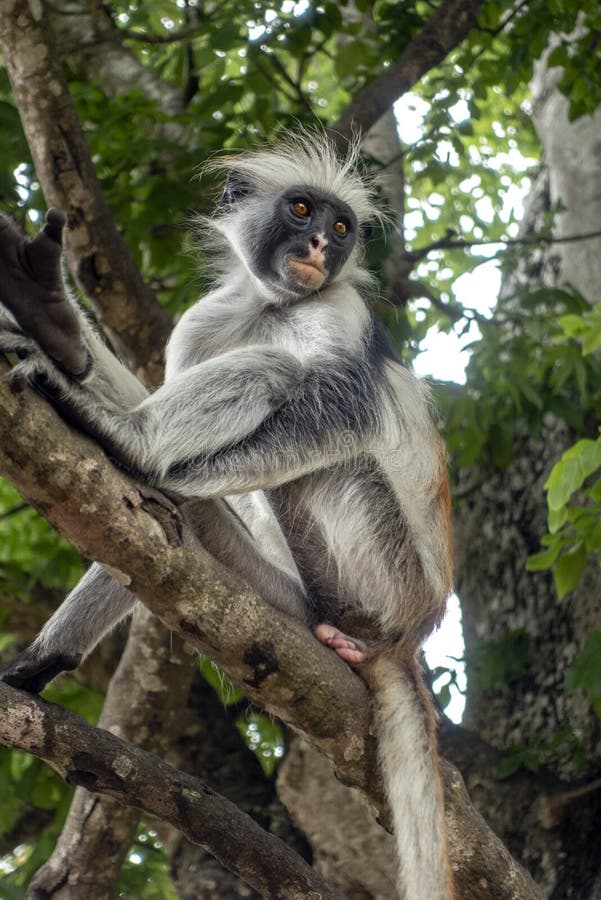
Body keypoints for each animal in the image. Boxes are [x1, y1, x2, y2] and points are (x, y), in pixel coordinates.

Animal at [0, 135, 454, 900]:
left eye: (340, 228)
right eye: (300, 210)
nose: (318, 245)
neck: (269, 304)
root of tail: (412, 631)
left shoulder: (339, 307)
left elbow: (345, 413)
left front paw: (144, 452)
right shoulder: (204, 321)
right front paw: (56, 329)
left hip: (378, 574)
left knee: (283, 379)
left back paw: (136, 447)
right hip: (290, 595)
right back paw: (39, 665)